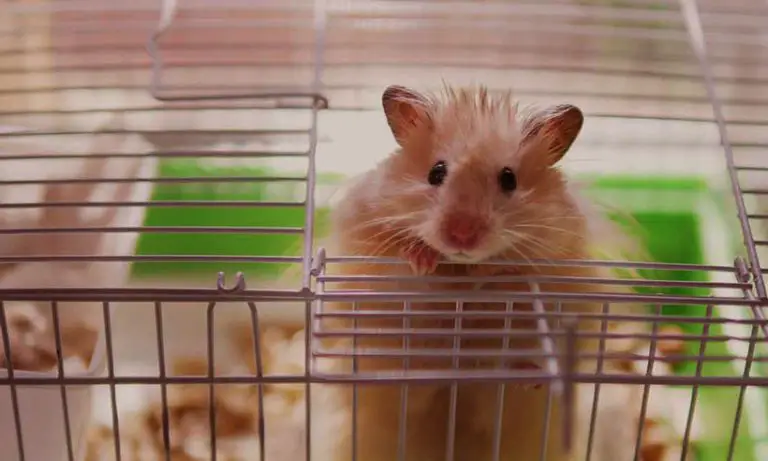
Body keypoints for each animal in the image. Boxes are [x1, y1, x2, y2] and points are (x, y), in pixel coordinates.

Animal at [317, 84, 648, 461]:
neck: (458, 271)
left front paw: (491, 270)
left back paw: (529, 376)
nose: (462, 235)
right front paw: (422, 258)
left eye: (509, 179)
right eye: (436, 172)